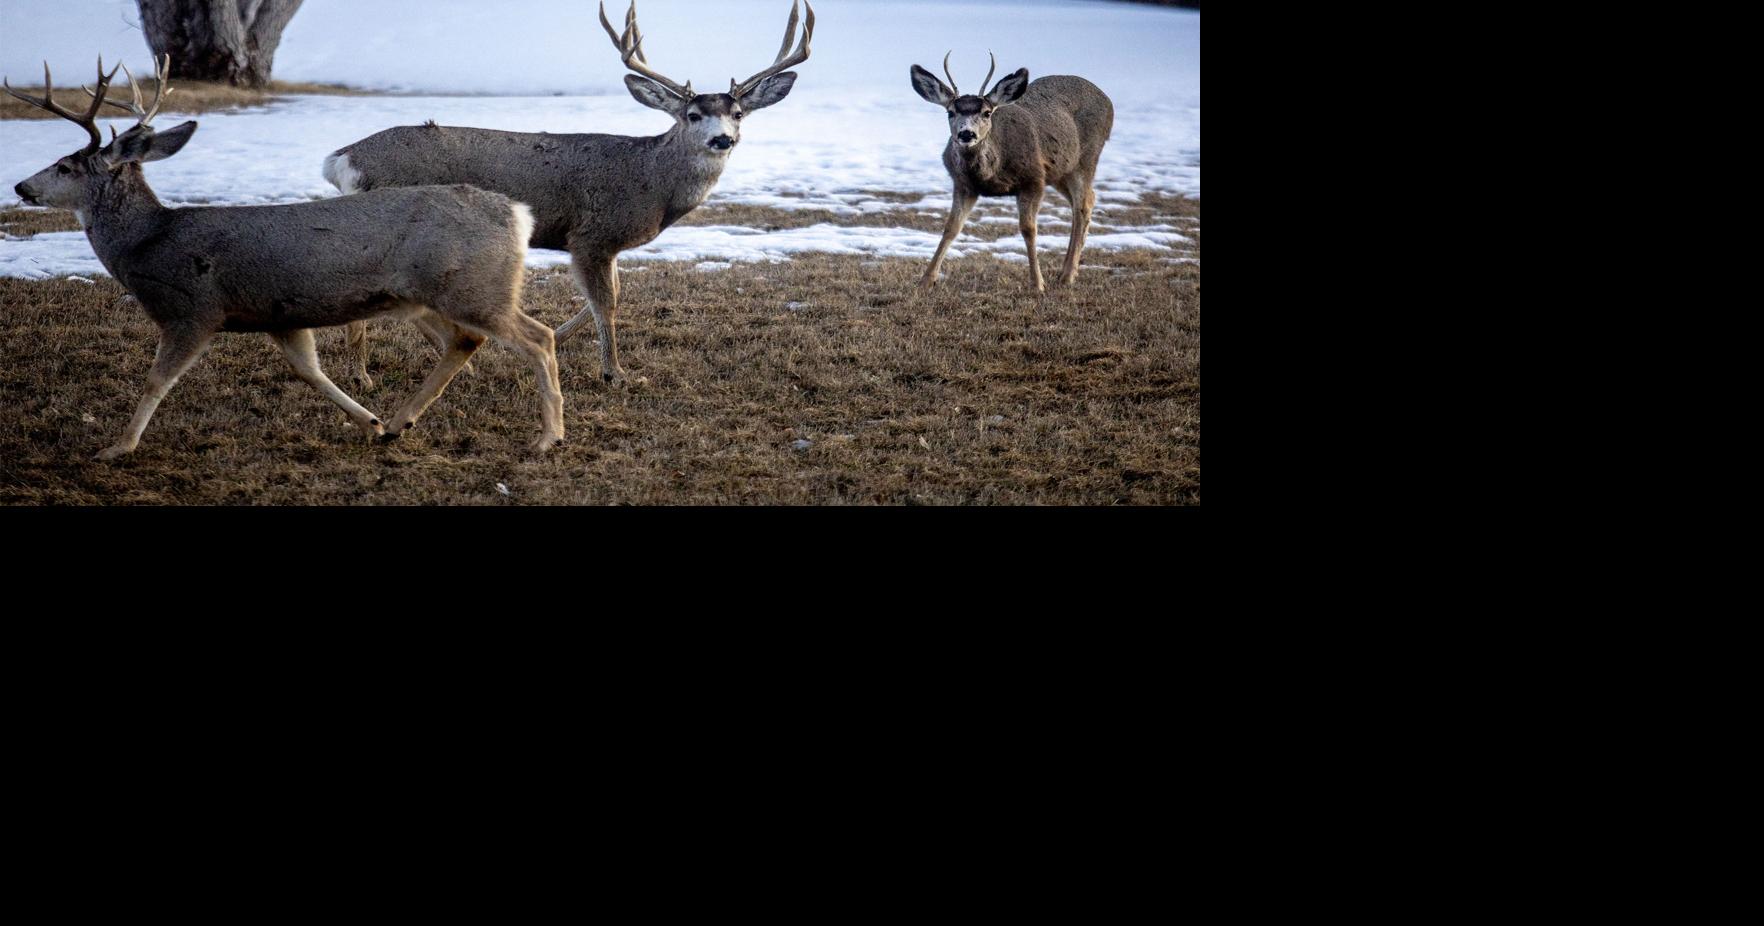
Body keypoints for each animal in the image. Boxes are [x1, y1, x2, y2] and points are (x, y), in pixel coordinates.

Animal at [5, 55, 565, 459]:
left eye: (64, 166)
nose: (20, 186)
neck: (147, 242)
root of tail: (517, 215)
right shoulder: (279, 313)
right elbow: (309, 371)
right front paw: (369, 422)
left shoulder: (194, 308)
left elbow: (156, 380)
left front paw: (117, 447)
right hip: (435, 291)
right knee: (467, 341)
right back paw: (399, 422)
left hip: (472, 286)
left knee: (538, 336)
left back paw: (548, 437)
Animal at [326, 0, 814, 389]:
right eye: (693, 114)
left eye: (738, 113)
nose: (722, 139)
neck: (650, 182)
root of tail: (343, 158)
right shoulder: (591, 235)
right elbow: (607, 303)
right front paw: (616, 373)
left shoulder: (599, 245)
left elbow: (609, 296)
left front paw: (555, 340)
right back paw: (363, 376)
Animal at [909, 54, 1113, 292]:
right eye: (950, 112)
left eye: (986, 112)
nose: (967, 134)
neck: (991, 171)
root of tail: (1108, 101)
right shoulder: (964, 184)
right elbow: (951, 227)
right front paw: (926, 280)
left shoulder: (1034, 178)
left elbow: (1028, 229)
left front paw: (1037, 284)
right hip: (1061, 171)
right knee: (1083, 201)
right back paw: (1066, 271)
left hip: (1087, 157)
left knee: (1083, 204)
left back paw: (1067, 275)